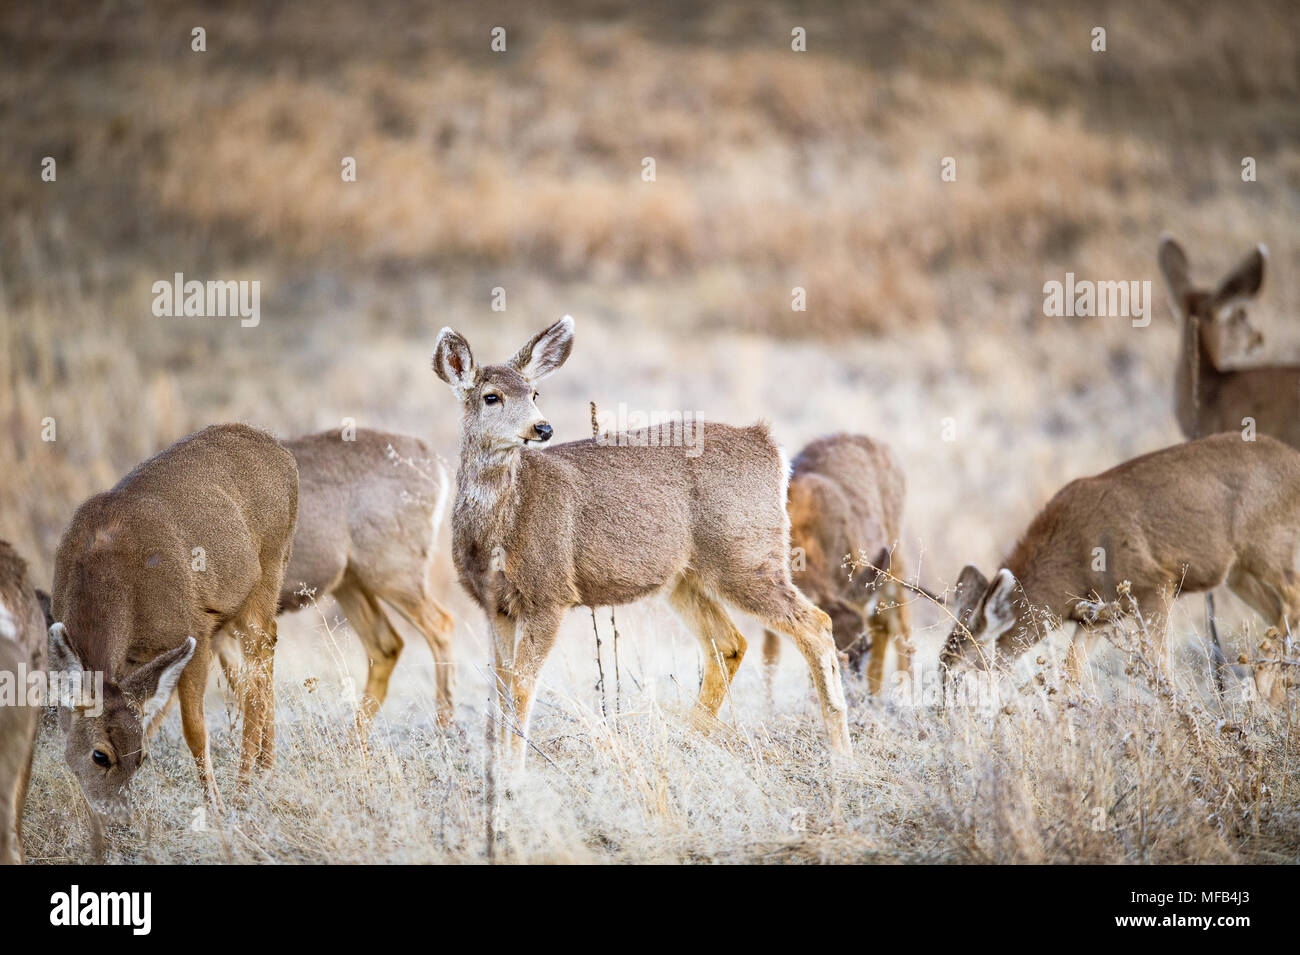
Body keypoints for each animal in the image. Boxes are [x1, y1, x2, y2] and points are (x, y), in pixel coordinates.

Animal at [48, 423, 298, 822]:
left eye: (140, 760)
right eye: (100, 755)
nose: (117, 818)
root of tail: (281, 449)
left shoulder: (191, 628)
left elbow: (194, 729)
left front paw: (216, 810)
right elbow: (147, 715)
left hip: (269, 569)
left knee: (259, 660)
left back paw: (247, 784)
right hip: (231, 611)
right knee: (256, 665)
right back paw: (263, 768)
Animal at [202, 428, 456, 733]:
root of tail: (432, 462)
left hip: (393, 569)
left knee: (440, 624)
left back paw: (444, 727)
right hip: (350, 581)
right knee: (386, 644)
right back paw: (354, 738)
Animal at [432, 316, 851, 770]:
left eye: (534, 393)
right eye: (491, 396)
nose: (542, 427)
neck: (503, 525)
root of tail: (771, 447)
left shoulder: (550, 592)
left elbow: (522, 685)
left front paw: (514, 772)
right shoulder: (495, 605)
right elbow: (501, 683)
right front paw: (499, 766)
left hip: (747, 554)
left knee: (815, 624)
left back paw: (841, 751)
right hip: (685, 577)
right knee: (730, 643)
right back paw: (687, 740)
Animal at [760, 433, 914, 696]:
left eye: (864, 647)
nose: (853, 694)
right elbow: (770, 655)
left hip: (896, 555)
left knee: (899, 626)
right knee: (884, 624)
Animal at [939, 433, 1300, 705]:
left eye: (959, 676)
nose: (944, 717)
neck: (1070, 564)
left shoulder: (1155, 584)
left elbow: (1161, 673)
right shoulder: (1096, 617)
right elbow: (1069, 680)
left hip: (1265, 543)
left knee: (1292, 599)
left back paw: (1265, 683)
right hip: (1238, 571)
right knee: (1275, 608)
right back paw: (1274, 695)